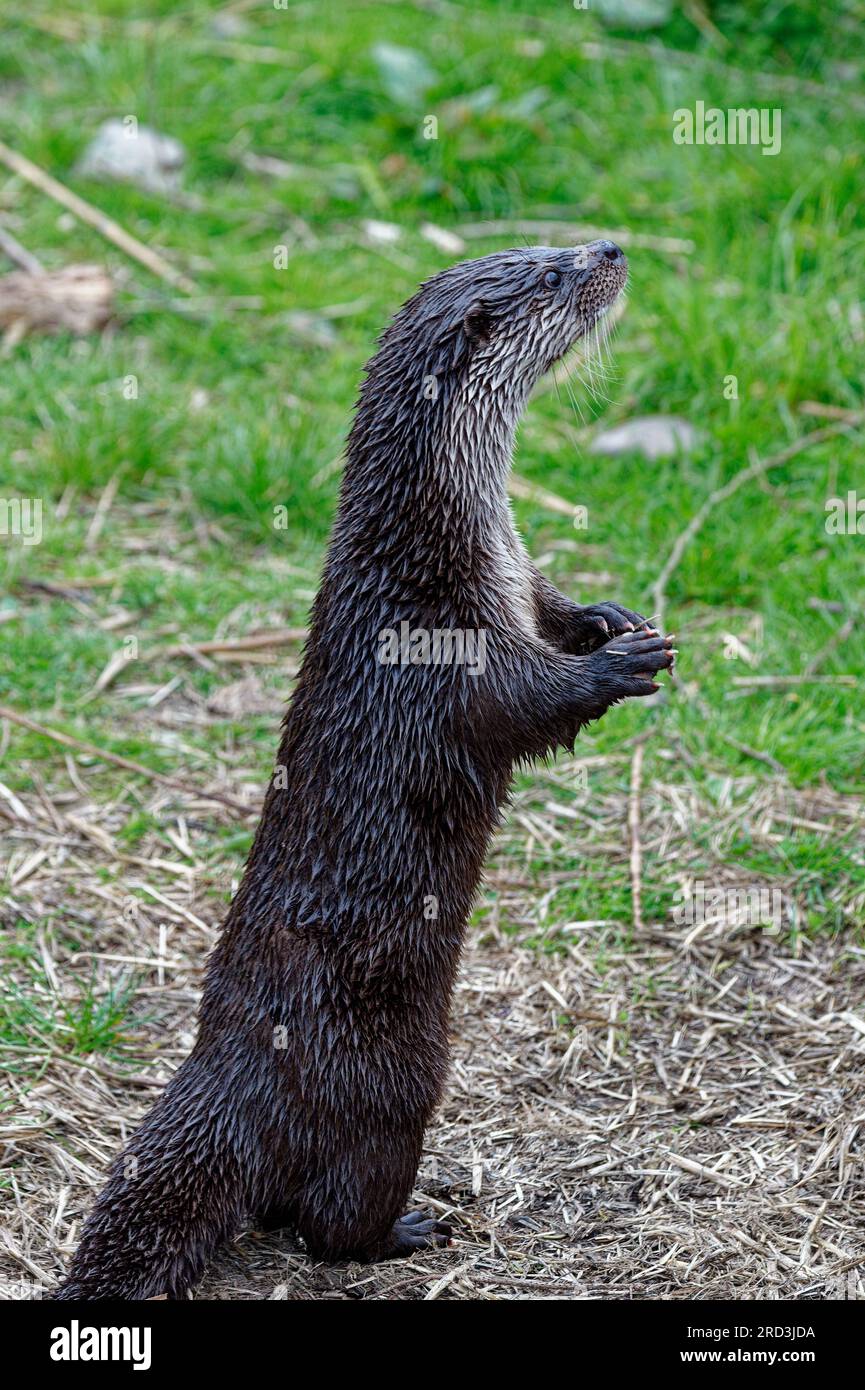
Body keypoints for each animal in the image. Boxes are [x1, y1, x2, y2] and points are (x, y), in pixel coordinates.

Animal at [54, 240, 675, 1299]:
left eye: (551, 244)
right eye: (552, 274)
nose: (610, 249)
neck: (441, 545)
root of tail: (223, 1079)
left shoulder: (513, 582)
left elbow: (551, 607)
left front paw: (607, 616)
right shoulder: (442, 647)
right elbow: (522, 708)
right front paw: (616, 665)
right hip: (395, 1085)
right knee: (328, 1219)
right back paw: (406, 1230)